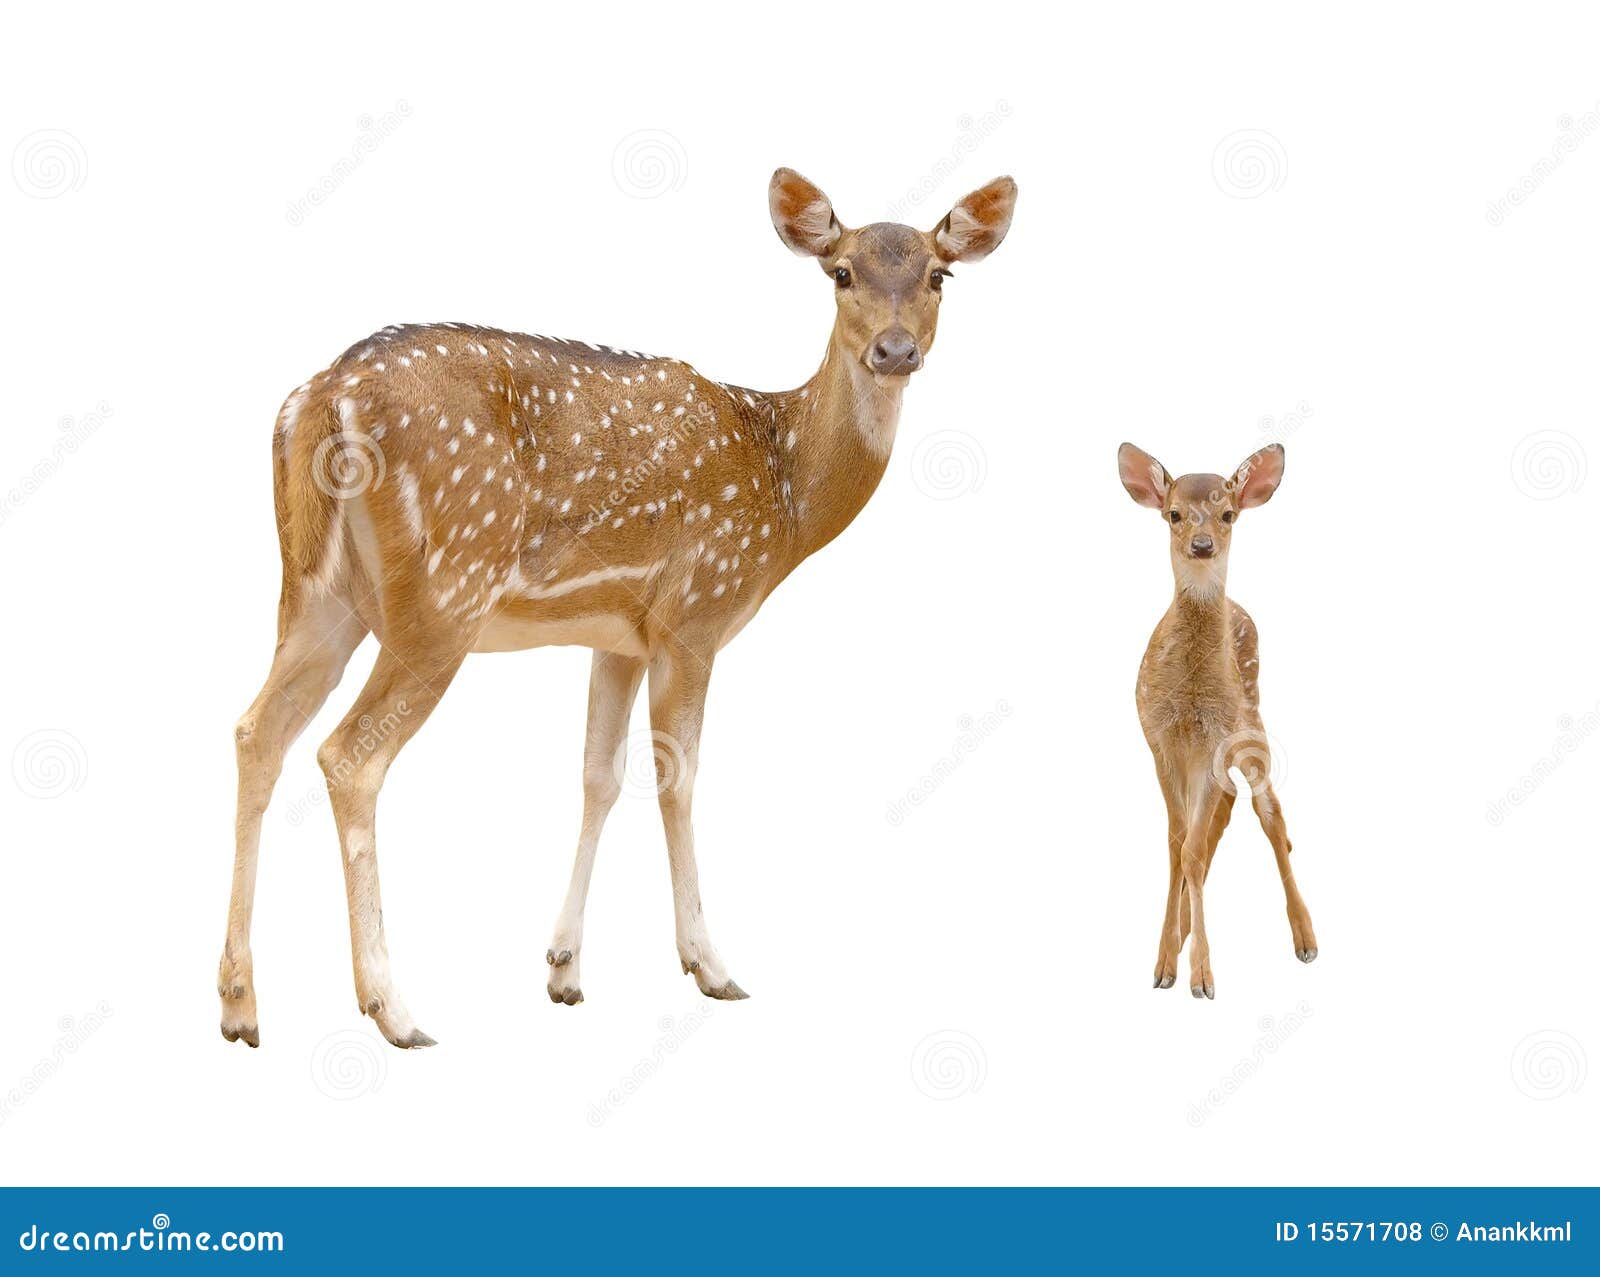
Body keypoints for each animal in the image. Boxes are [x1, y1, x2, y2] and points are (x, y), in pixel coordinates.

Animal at [218, 168, 1017, 1049]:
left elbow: (597, 774)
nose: (896, 350)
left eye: (939, 275)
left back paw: (240, 1004)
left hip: (316, 592)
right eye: (840, 272)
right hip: (442, 594)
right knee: (347, 756)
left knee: (256, 731)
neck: (783, 489)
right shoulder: (696, 612)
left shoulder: (619, 634)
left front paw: (564, 968)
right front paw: (709, 964)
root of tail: (320, 399)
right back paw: (393, 1006)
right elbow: (677, 777)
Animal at [1117, 441, 1318, 1001]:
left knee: (1270, 816)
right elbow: (1177, 846)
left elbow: (1191, 849)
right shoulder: (1160, 743)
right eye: (1173, 514)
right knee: (1217, 823)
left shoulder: (1212, 744)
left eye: (1227, 513)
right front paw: (1165, 963)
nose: (1202, 544)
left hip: (1251, 728)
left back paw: (1305, 937)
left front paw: (1200, 976)